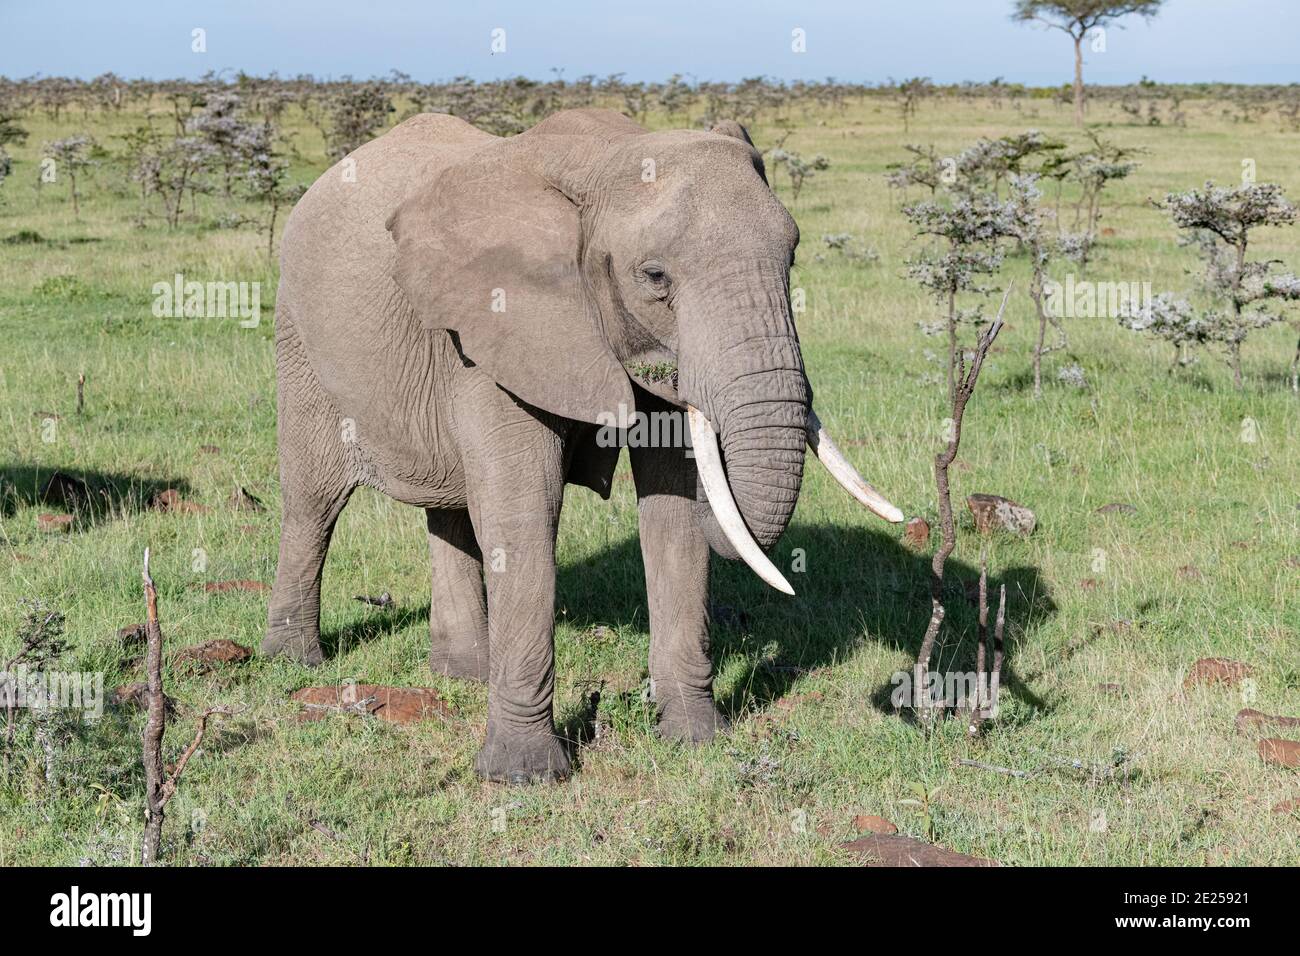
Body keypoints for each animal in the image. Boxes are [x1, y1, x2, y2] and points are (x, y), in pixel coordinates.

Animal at [262, 108, 902, 783]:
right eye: (654, 276)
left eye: (793, 256)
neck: (607, 155)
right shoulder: (496, 327)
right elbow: (527, 512)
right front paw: (523, 777)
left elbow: (671, 508)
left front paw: (696, 739)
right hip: (297, 331)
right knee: (314, 500)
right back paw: (295, 660)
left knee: (450, 508)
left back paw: (465, 674)